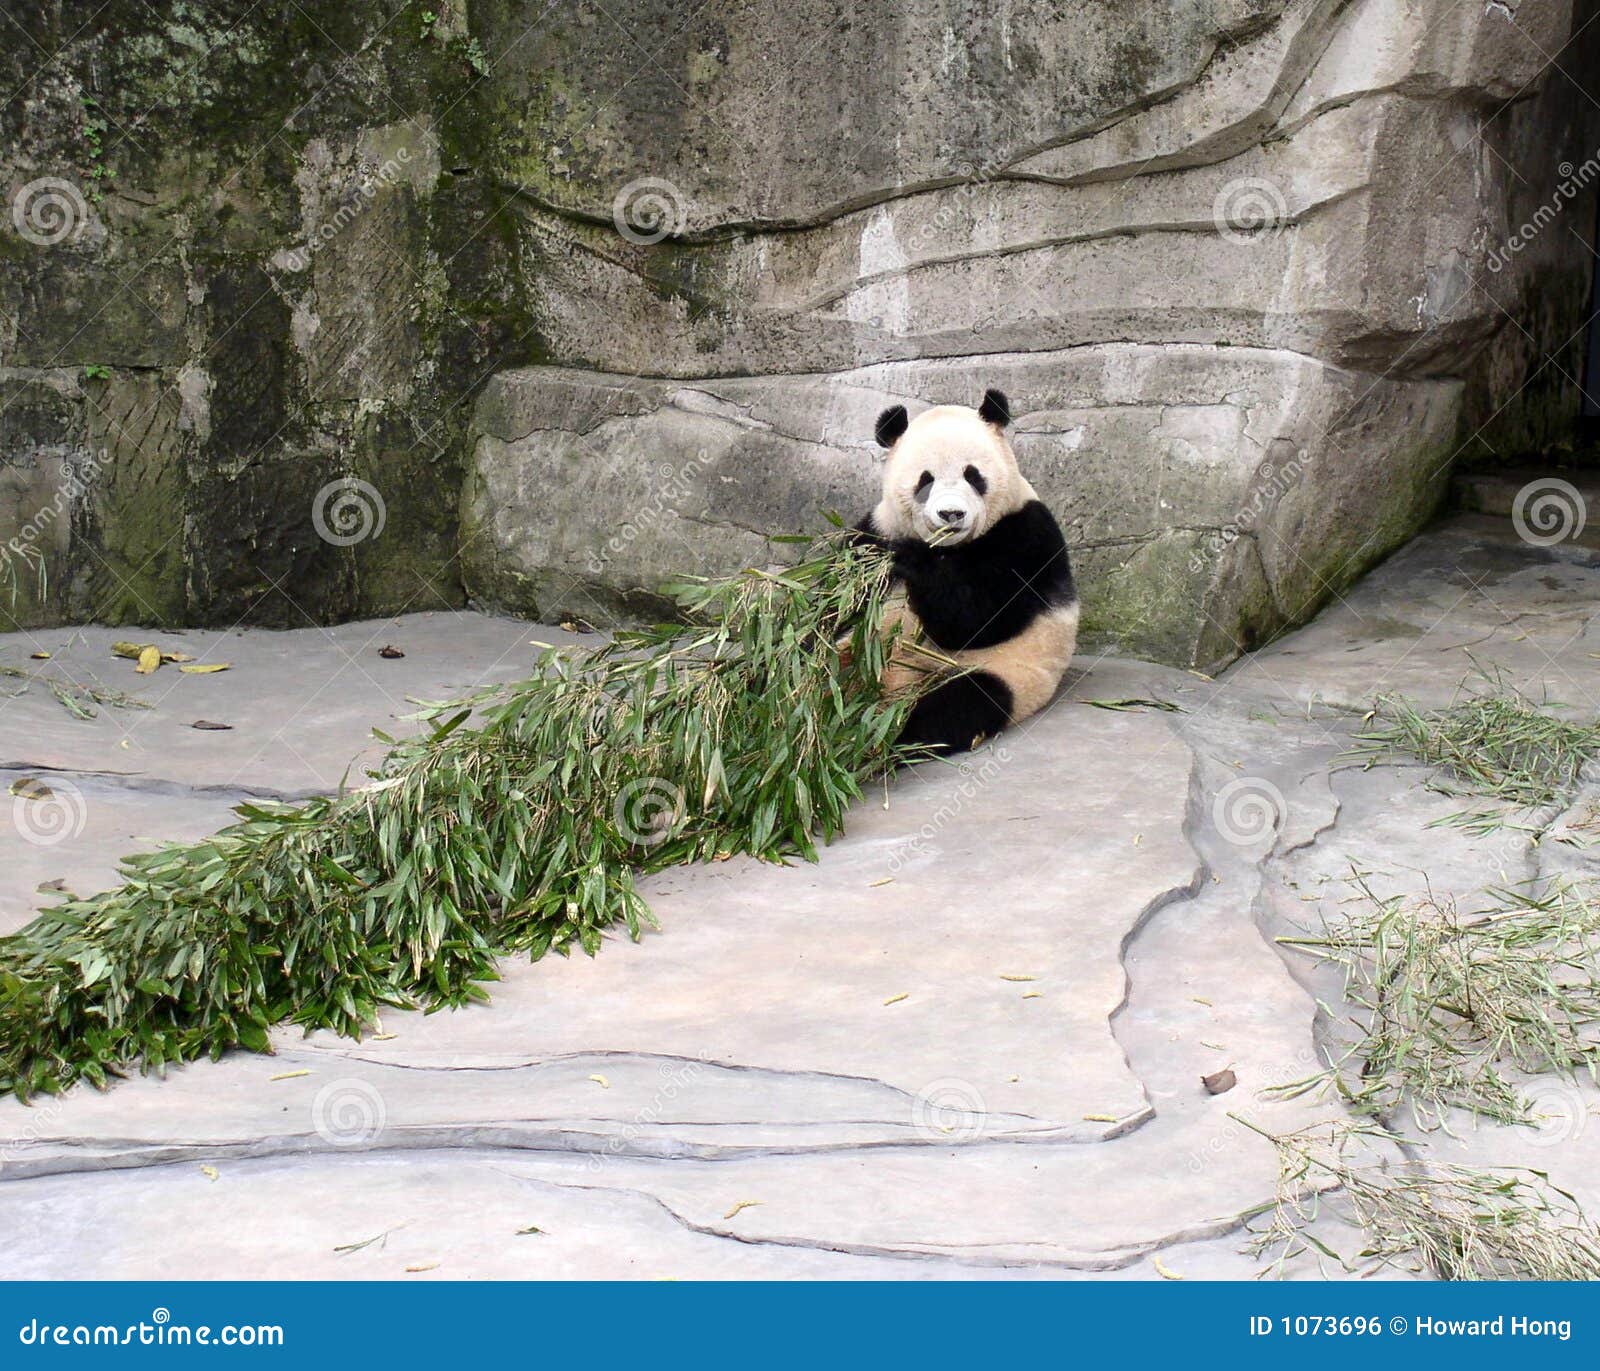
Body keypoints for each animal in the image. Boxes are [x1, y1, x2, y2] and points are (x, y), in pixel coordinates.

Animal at [853, 388, 1078, 754]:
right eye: (925, 480)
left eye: (973, 476)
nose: (951, 514)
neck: (949, 547)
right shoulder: (876, 530)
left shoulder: (1025, 533)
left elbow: (973, 620)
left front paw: (913, 558)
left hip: (1002, 672)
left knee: (952, 708)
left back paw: (882, 741)